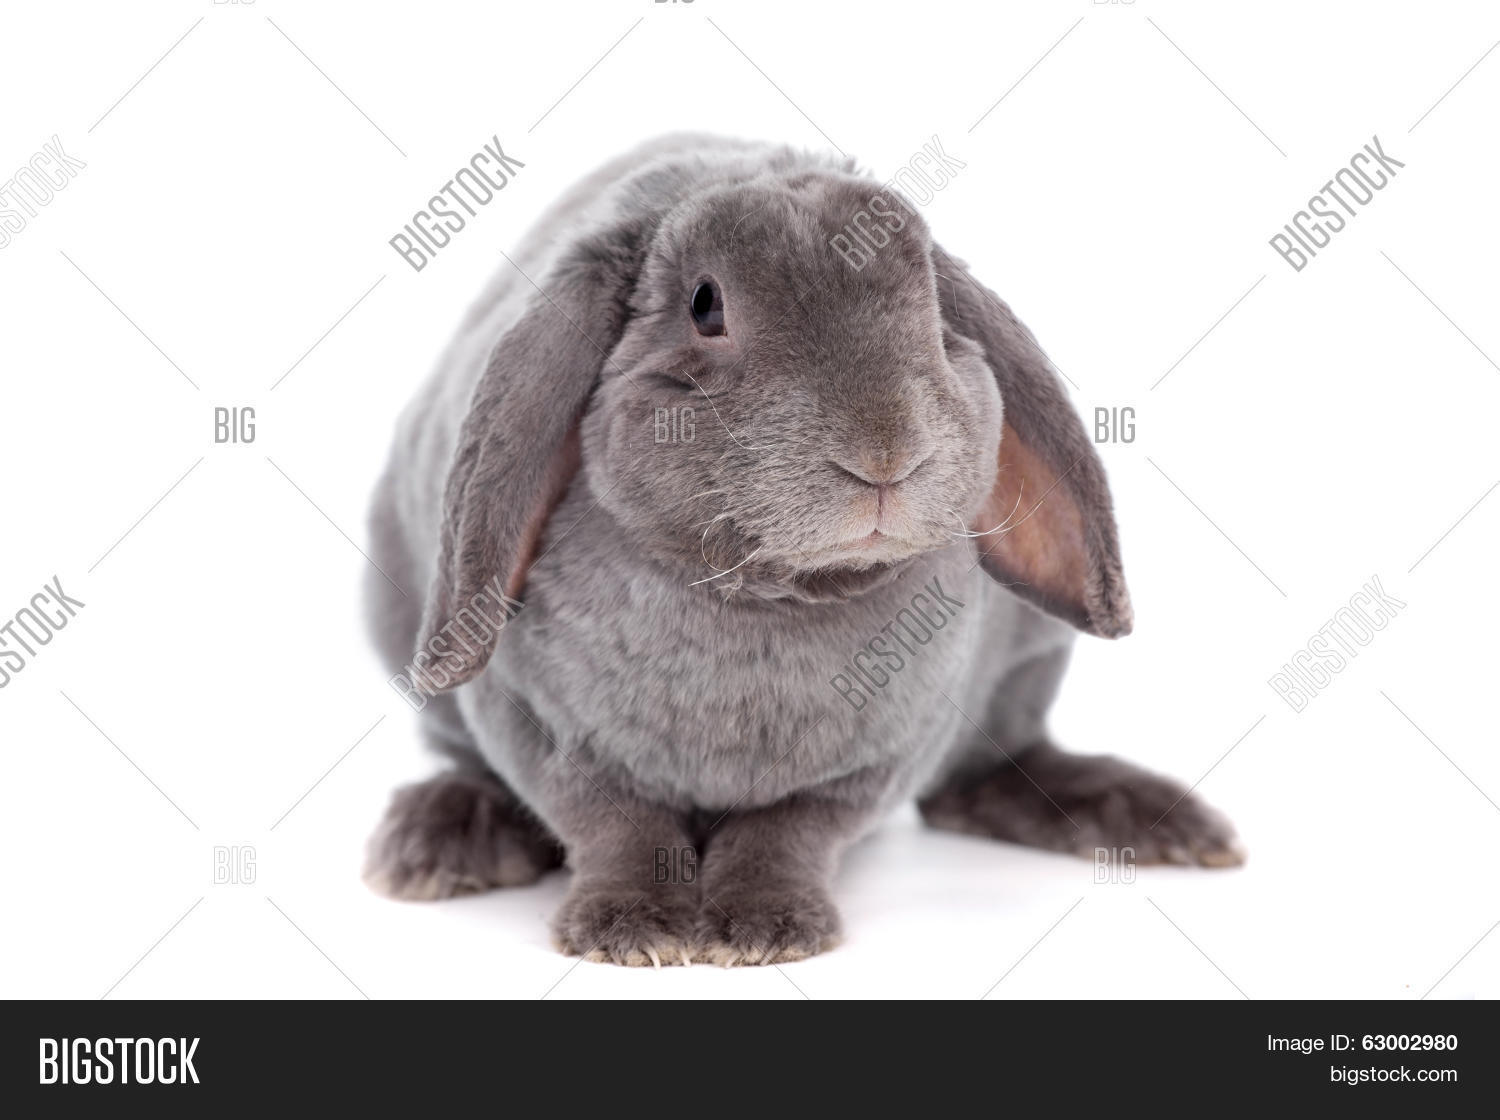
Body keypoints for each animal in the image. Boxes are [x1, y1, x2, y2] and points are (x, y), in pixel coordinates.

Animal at [362, 133, 1243, 967]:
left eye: (934, 312)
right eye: (705, 305)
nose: (886, 454)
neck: (766, 599)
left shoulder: (879, 760)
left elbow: (788, 833)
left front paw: (764, 928)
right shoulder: (533, 728)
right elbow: (614, 825)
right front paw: (632, 929)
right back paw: (444, 842)